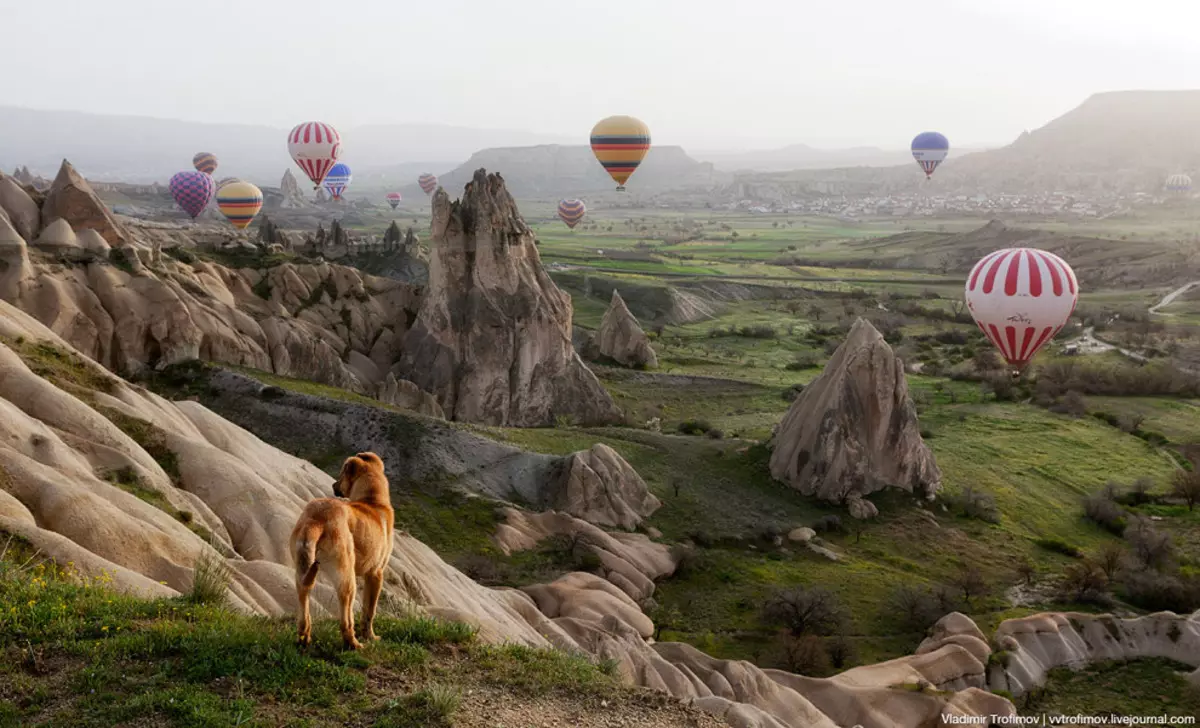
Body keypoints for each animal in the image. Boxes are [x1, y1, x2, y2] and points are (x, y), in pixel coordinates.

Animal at [291, 453, 396, 652]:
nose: (333, 485)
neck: (372, 500)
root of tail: (317, 518)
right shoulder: (375, 574)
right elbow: (369, 610)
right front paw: (370, 636)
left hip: (302, 566)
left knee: (303, 596)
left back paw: (304, 638)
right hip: (347, 577)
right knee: (346, 618)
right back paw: (353, 643)